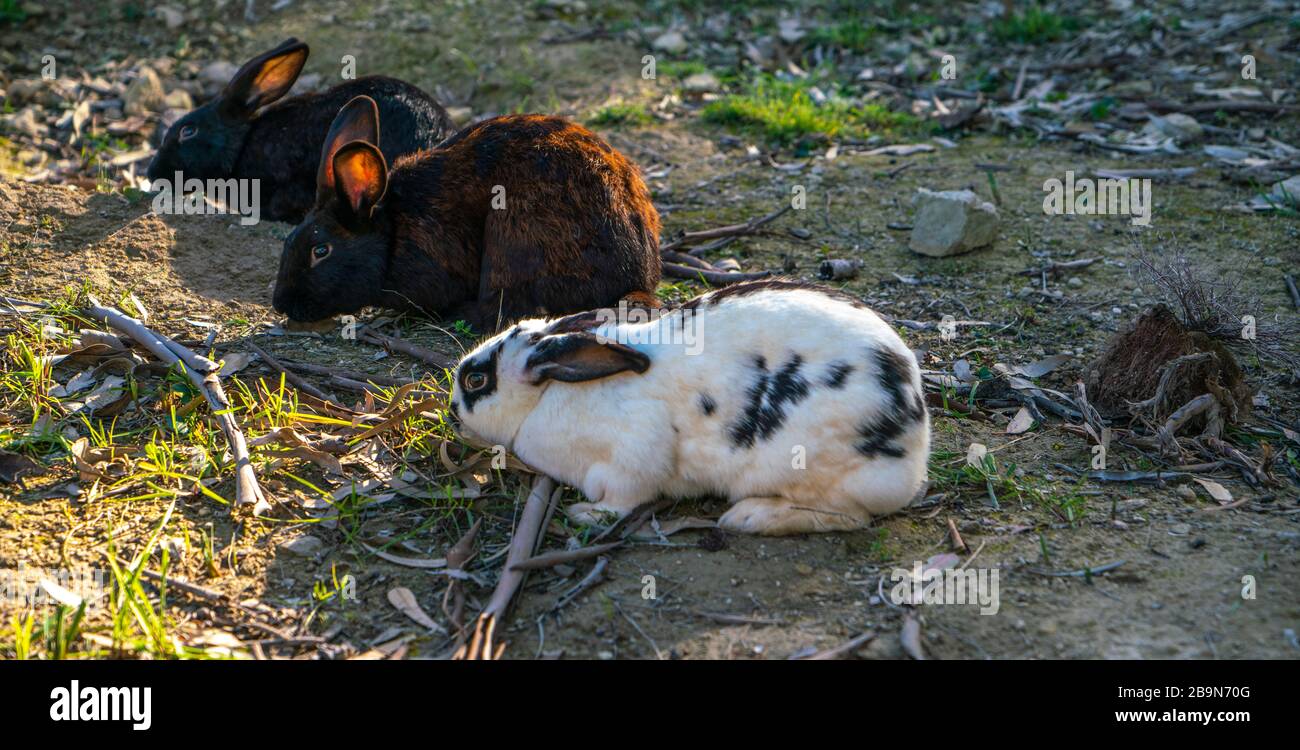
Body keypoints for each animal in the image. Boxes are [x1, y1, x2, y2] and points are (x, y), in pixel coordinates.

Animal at [446, 280, 930, 536]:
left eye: (476, 381)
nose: (451, 411)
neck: (547, 394)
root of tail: (916, 447)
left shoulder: (632, 457)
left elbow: (623, 500)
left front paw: (586, 514)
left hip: (812, 468)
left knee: (851, 515)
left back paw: (749, 516)